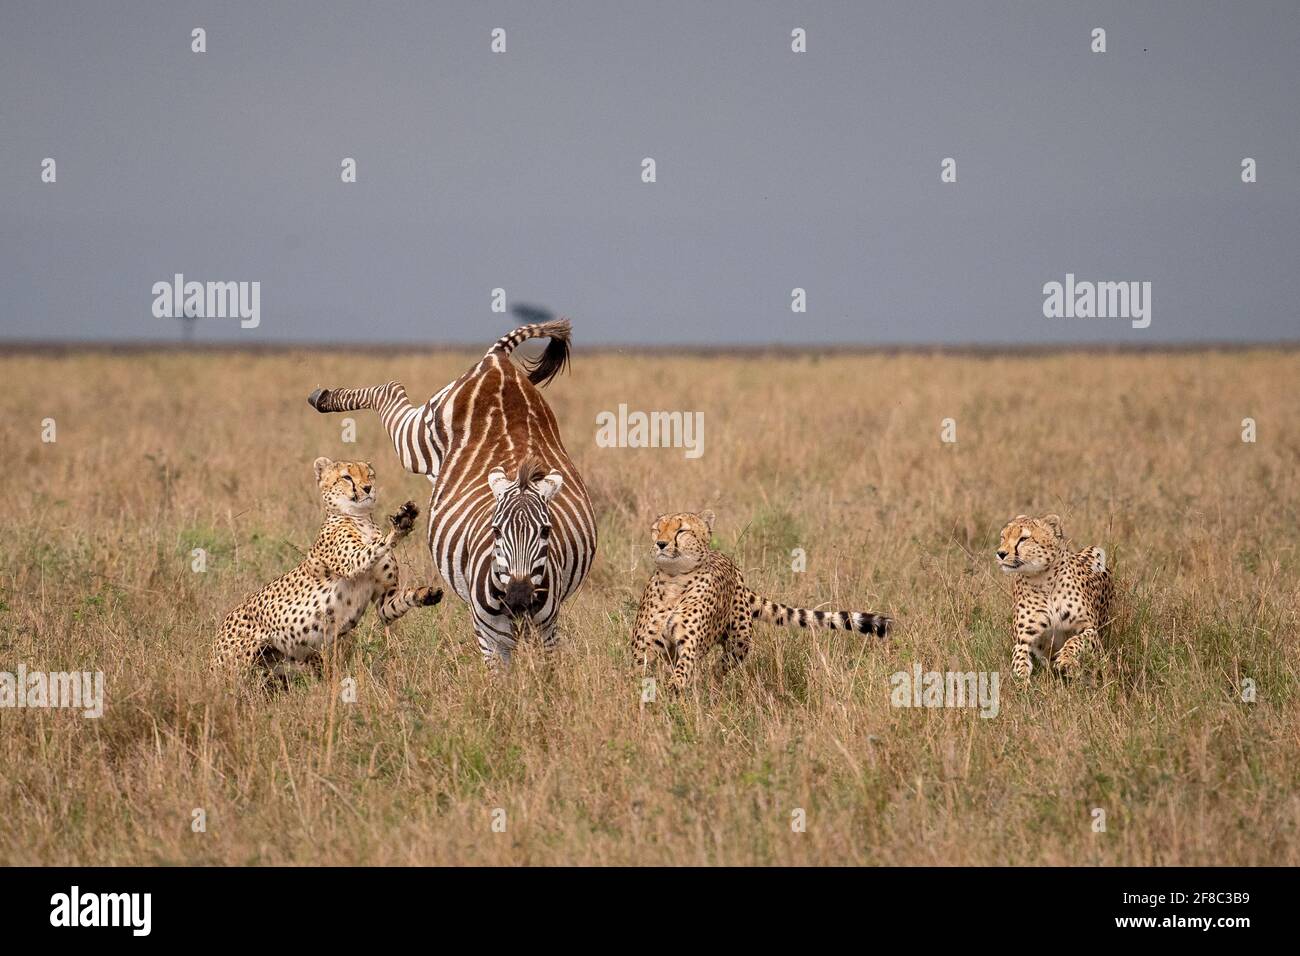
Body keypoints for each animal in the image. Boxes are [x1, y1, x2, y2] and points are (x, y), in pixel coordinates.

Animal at [305, 320, 596, 666]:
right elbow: (502, 678)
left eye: (545, 531)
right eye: (495, 531)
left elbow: (546, 676)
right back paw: (323, 397)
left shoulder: (547, 630)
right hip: (418, 440)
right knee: (390, 389)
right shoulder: (489, 635)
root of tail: (497, 363)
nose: (518, 599)